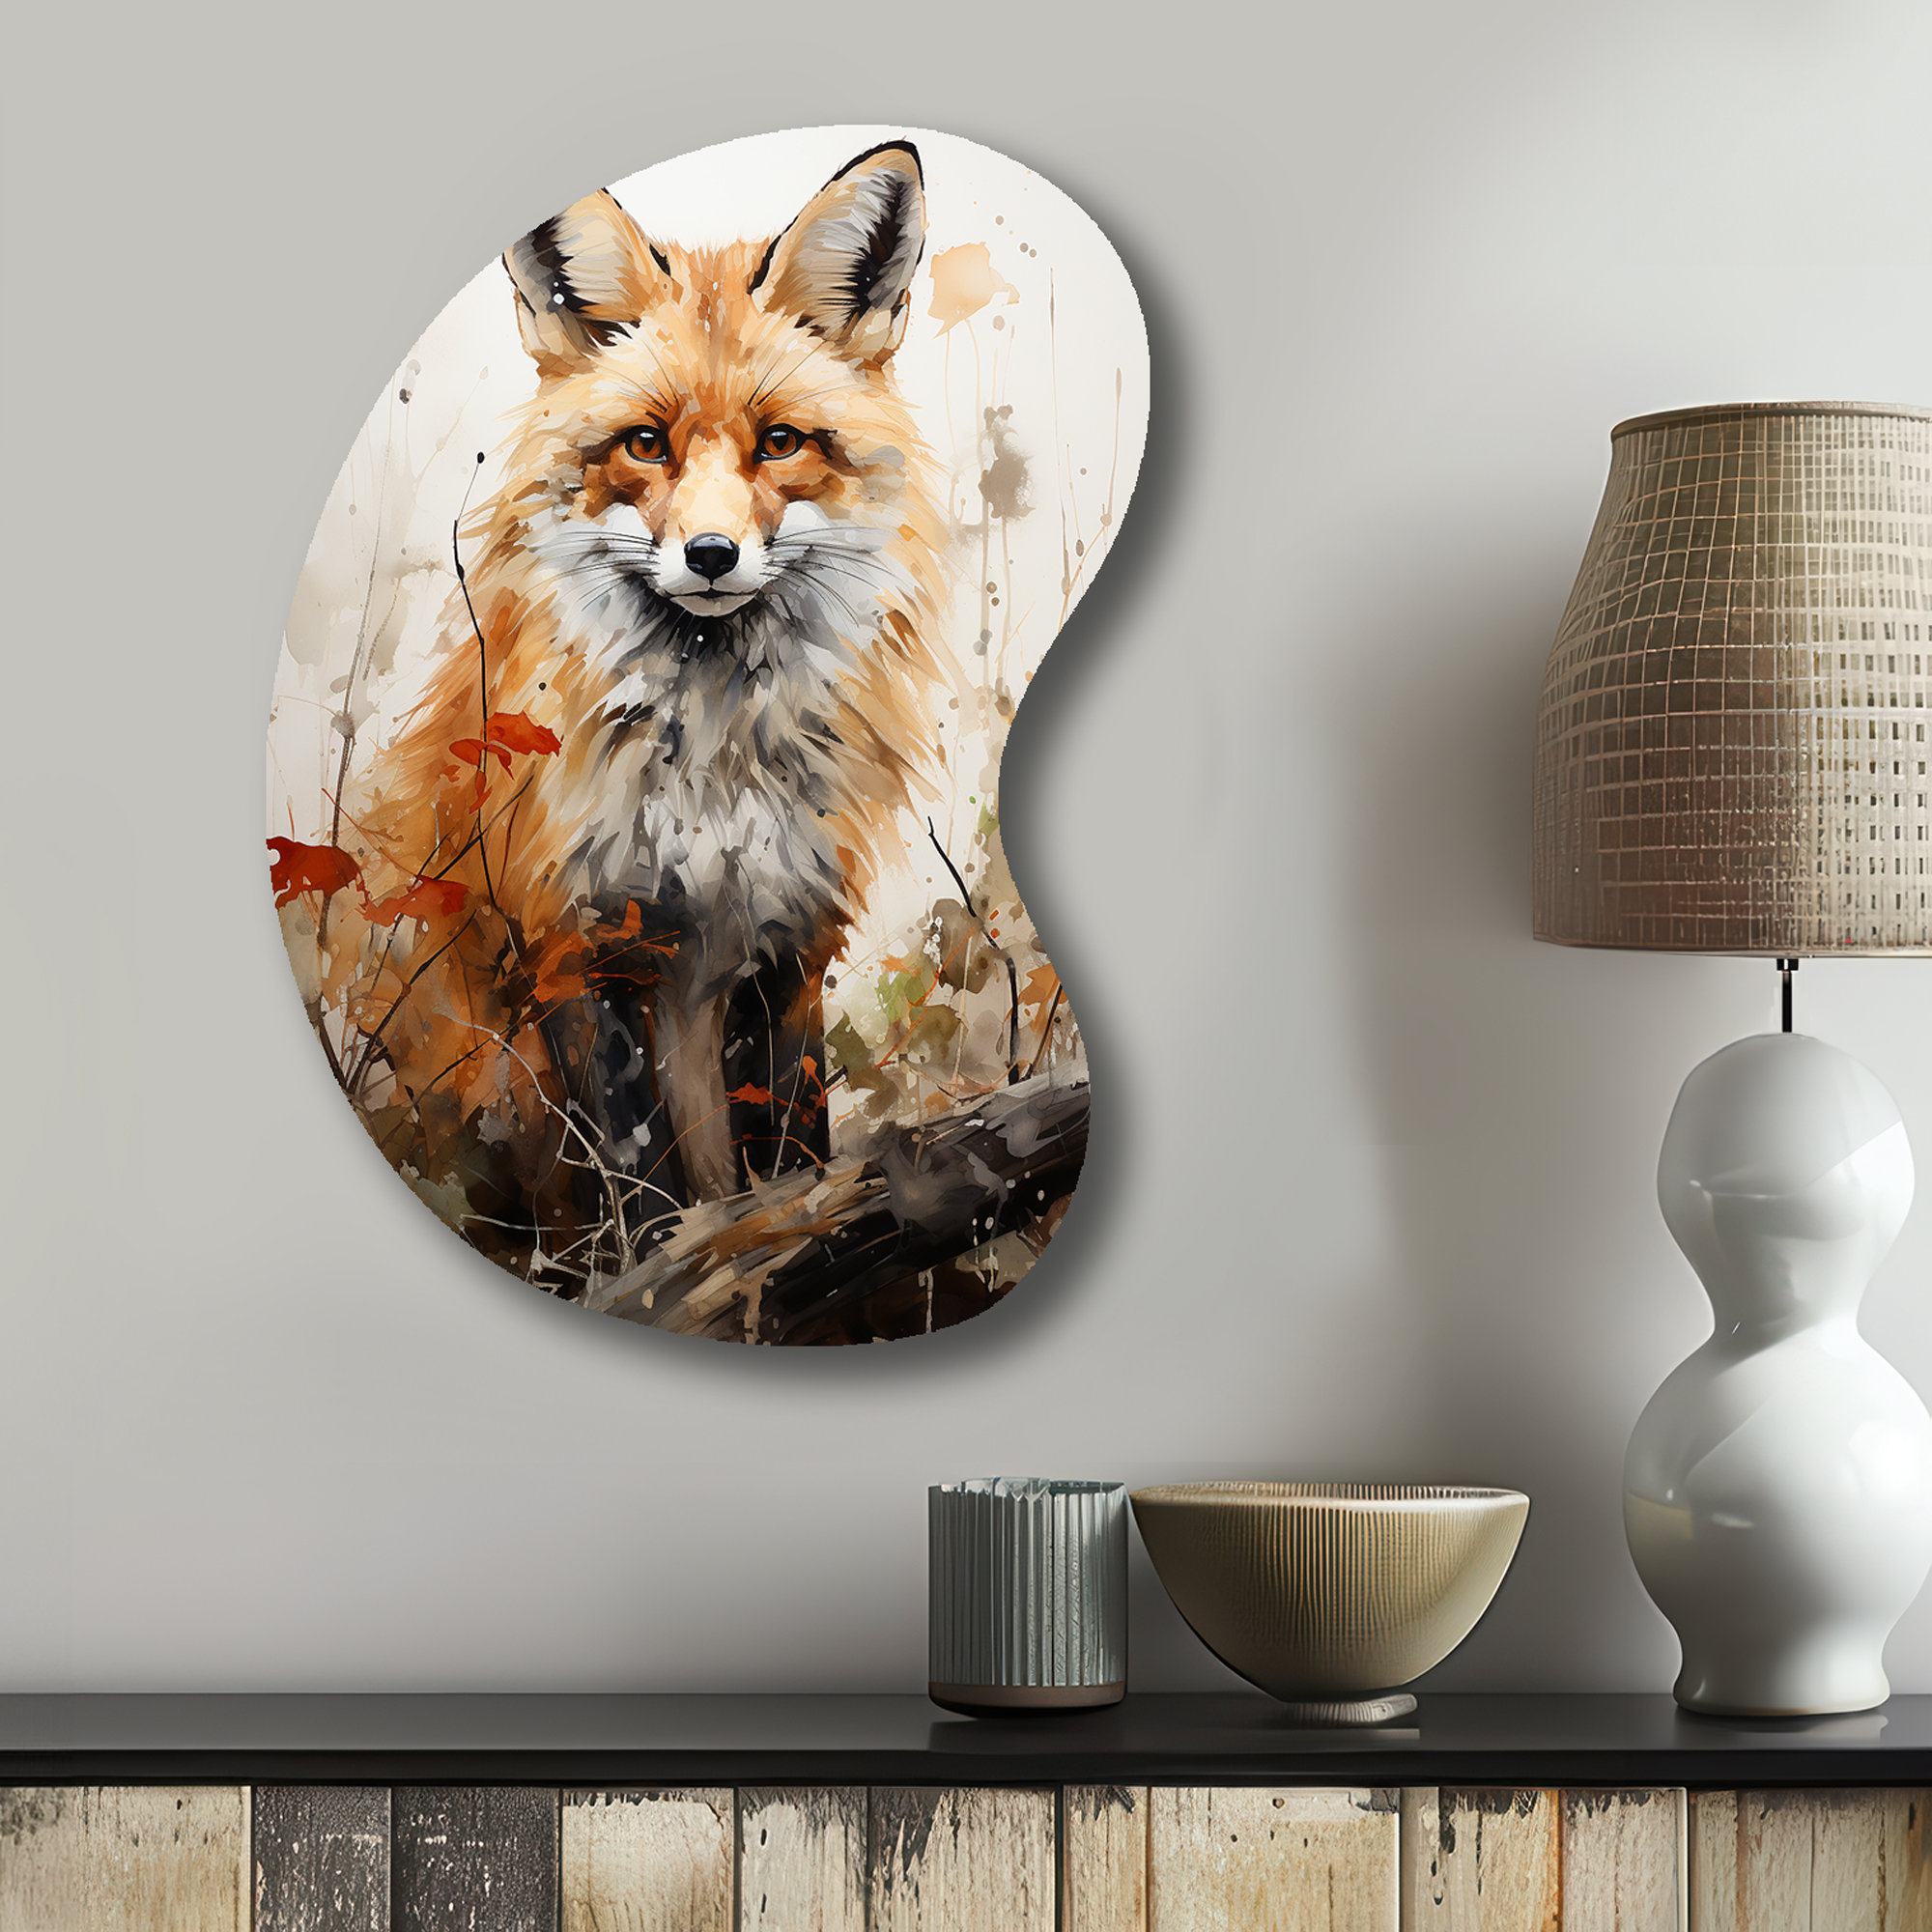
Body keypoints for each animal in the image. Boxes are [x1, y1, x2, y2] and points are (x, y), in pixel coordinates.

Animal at [319, 142, 951, 1275]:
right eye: (647, 444)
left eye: (779, 441)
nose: (710, 555)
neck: (711, 765)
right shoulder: (578, 946)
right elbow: (641, 1183)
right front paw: (662, 1279)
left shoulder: (787, 945)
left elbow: (789, 1156)